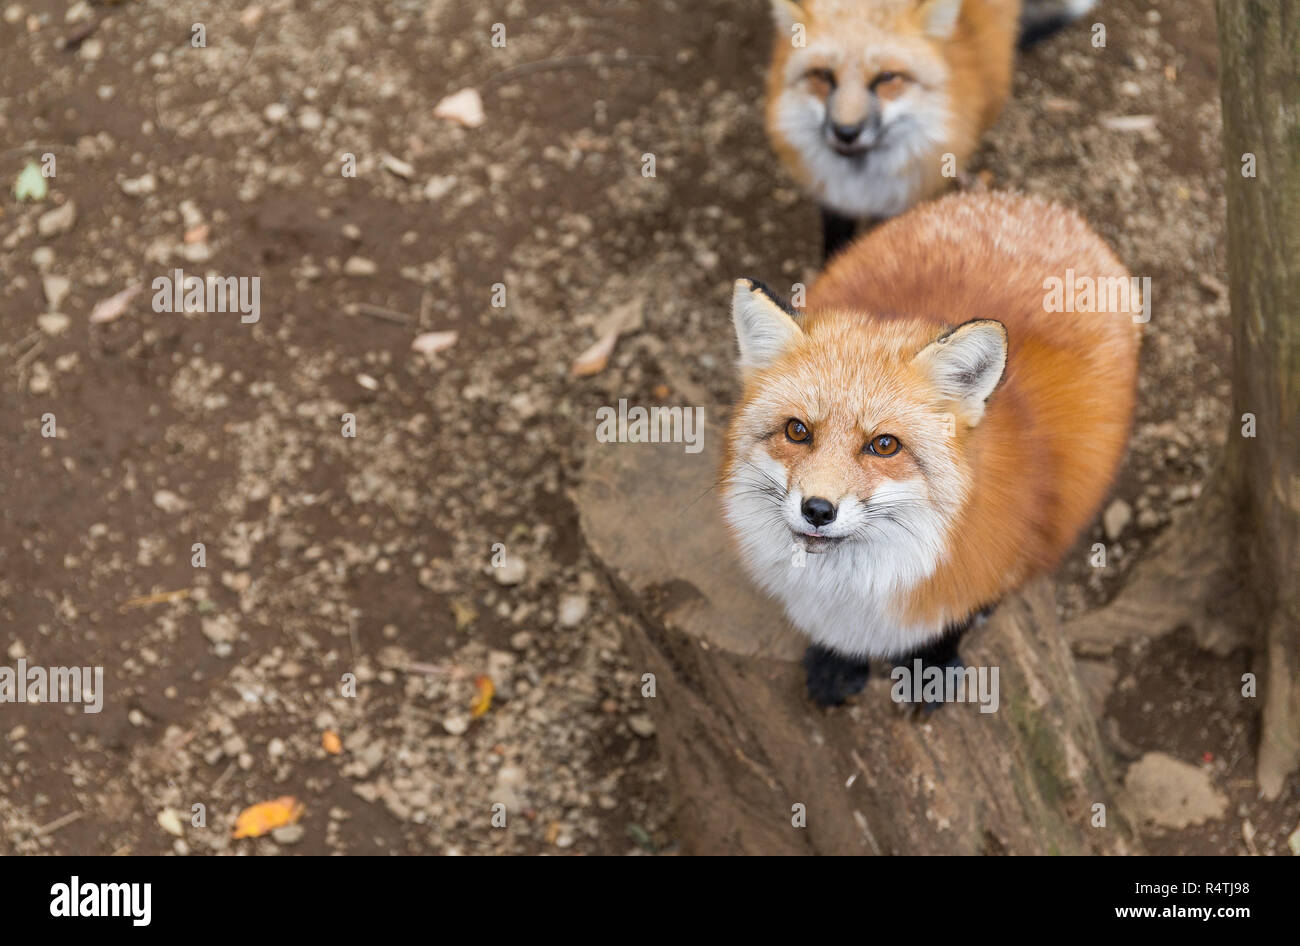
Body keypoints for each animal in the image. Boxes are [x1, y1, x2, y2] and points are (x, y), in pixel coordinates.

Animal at [721, 191, 1140, 708]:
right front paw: (837, 659)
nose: (817, 510)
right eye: (797, 431)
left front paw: (933, 665)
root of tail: (1040, 207)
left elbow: (957, 612)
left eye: (884, 445)